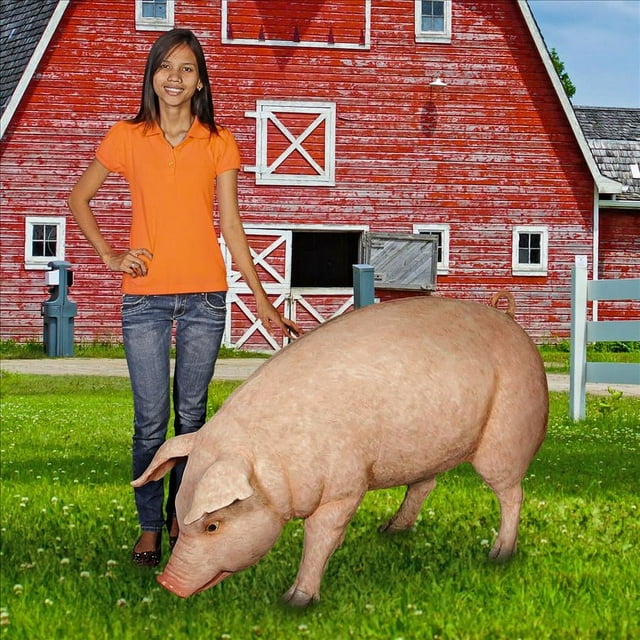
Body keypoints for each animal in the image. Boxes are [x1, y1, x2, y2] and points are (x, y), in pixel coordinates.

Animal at [132, 295, 548, 606]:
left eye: (213, 524)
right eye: (180, 512)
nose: (166, 583)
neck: (276, 460)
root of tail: (510, 320)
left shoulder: (344, 486)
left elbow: (321, 536)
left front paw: (295, 602)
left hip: (507, 434)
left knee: (513, 494)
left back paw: (499, 555)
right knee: (425, 485)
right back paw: (390, 531)